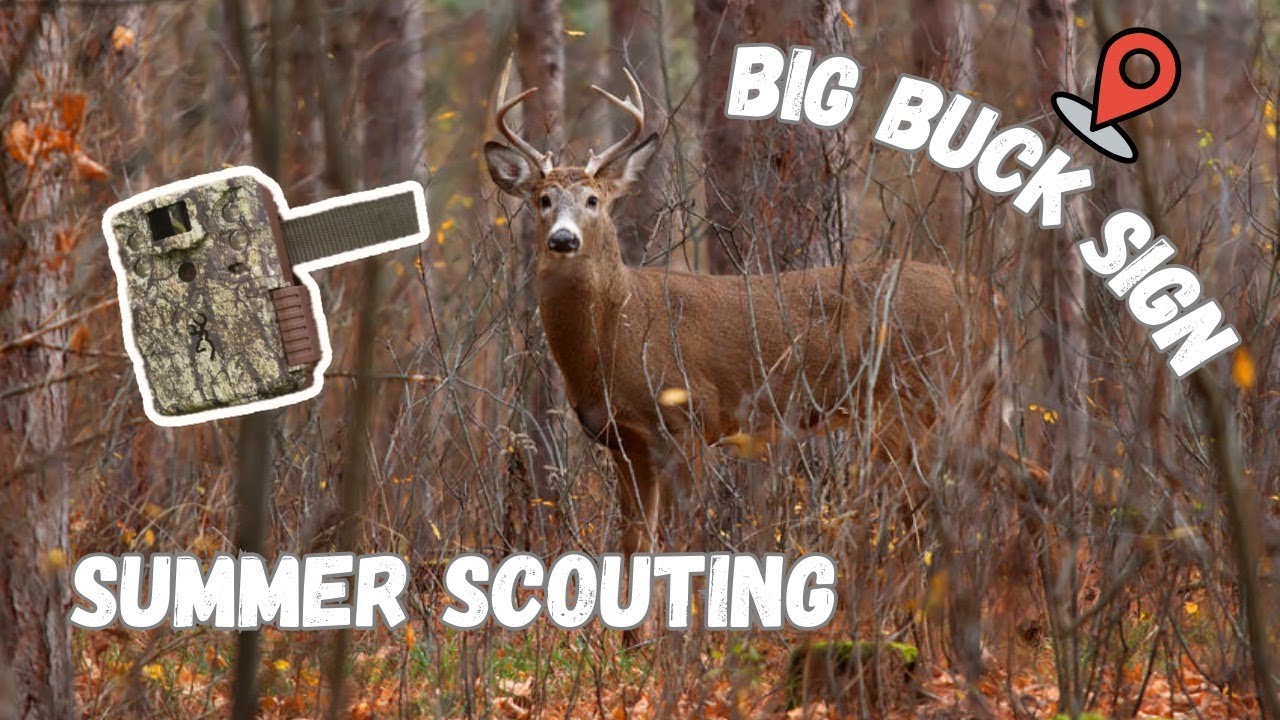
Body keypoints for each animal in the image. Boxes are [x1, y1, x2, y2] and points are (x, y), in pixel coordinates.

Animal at [483, 69, 1014, 580]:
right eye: (543, 199)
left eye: (593, 200)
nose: (564, 239)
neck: (618, 330)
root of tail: (990, 299)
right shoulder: (626, 444)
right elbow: (634, 547)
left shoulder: (690, 419)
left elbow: (677, 542)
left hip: (918, 400)